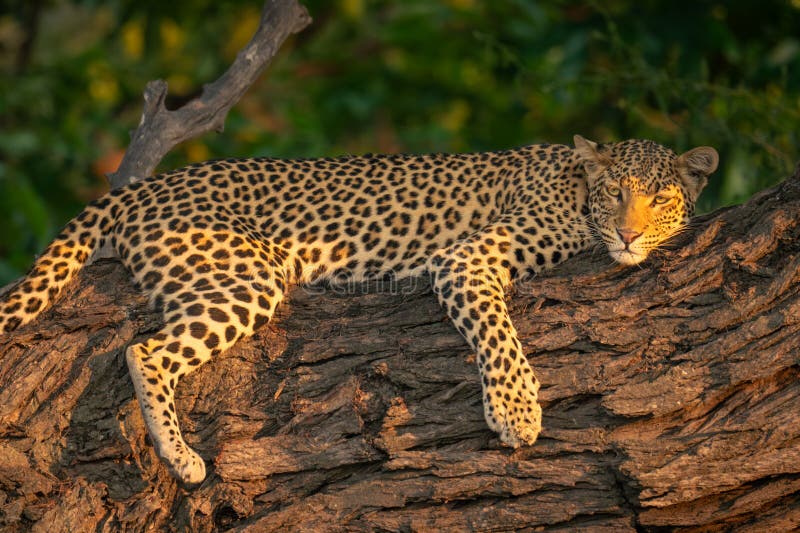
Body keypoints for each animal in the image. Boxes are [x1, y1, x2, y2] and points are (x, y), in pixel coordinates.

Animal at [0, 135, 718, 485]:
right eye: (617, 192)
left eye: (659, 198)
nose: (628, 235)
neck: (577, 194)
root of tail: (141, 186)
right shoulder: (465, 260)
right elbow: (499, 334)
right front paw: (516, 413)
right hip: (248, 276)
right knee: (144, 349)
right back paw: (181, 458)